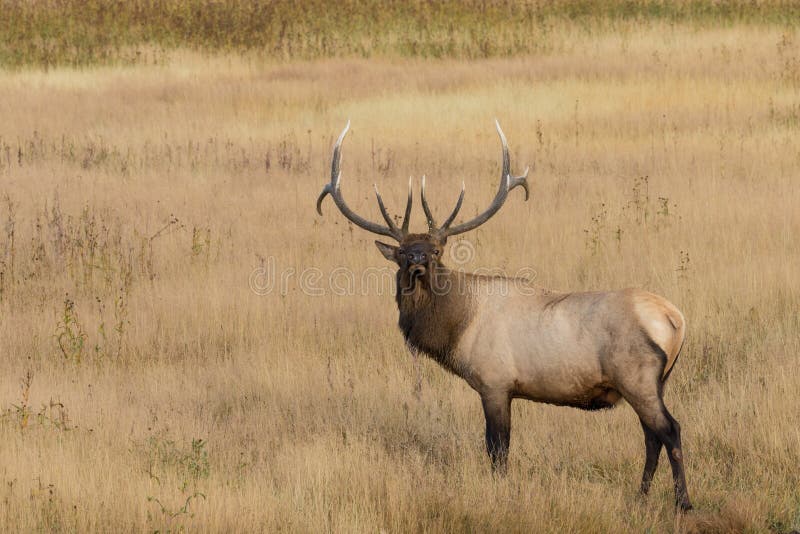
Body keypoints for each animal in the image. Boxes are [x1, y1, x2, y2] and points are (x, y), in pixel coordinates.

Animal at [316, 121, 692, 511]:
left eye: (436, 251)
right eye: (403, 252)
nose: (418, 261)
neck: (457, 328)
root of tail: (675, 319)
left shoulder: (494, 382)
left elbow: (497, 449)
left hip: (636, 376)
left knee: (669, 430)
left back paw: (682, 501)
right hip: (654, 381)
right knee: (651, 436)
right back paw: (641, 494)